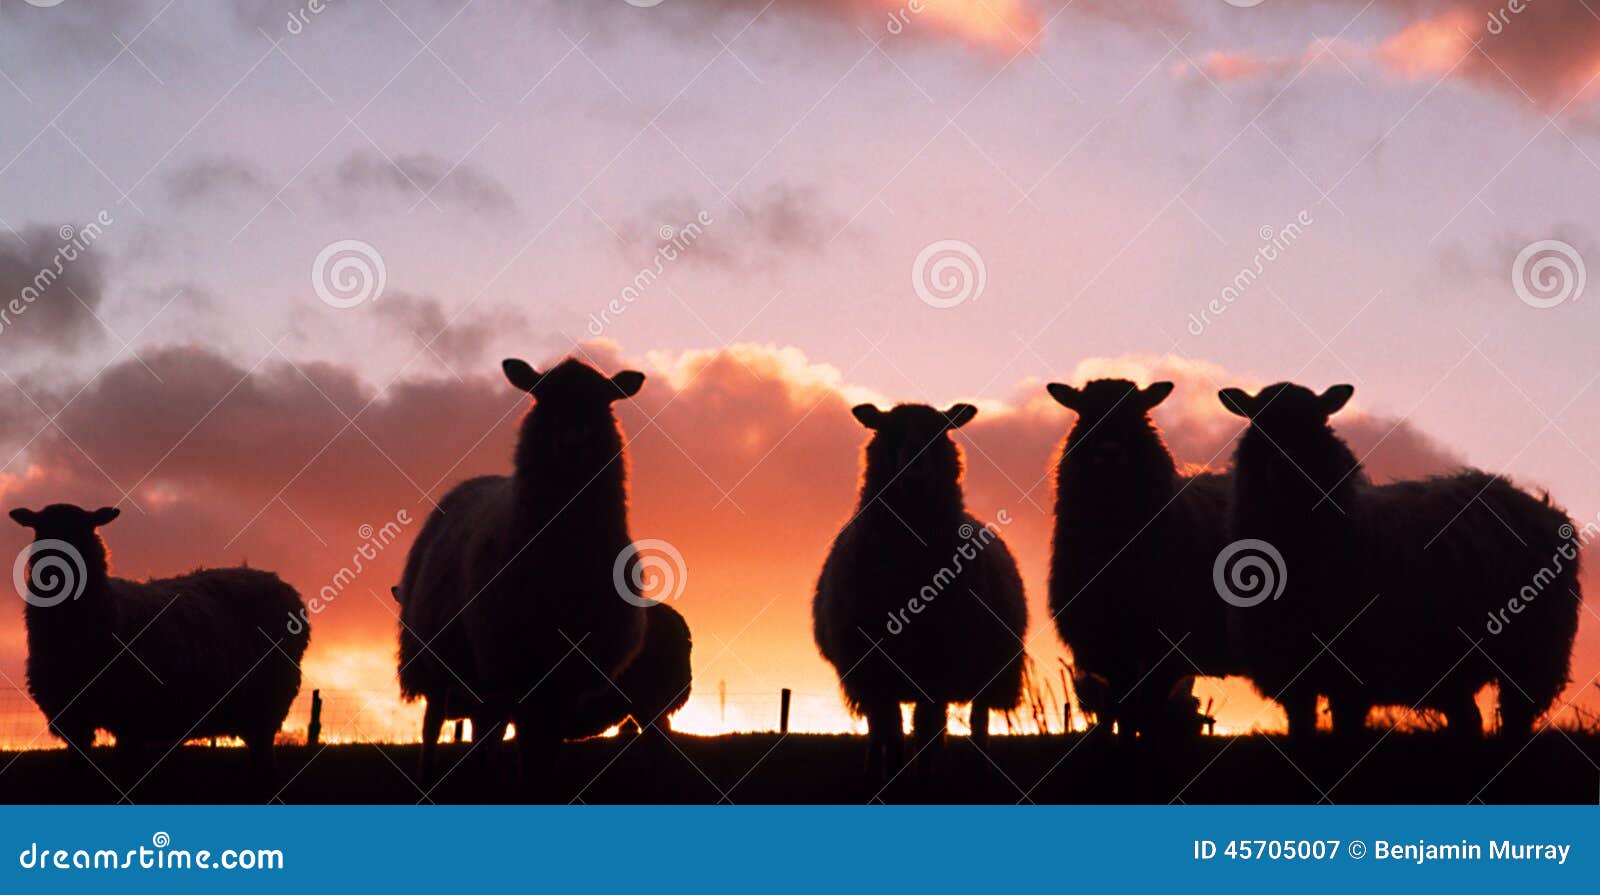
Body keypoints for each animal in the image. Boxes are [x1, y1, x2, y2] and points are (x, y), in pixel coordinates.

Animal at [9, 503, 307, 784]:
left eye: (85, 528)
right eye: (39, 529)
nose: (55, 566)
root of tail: (278, 582)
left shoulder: (130, 717)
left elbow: (126, 772)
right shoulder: (72, 718)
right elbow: (77, 770)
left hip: (269, 702)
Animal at [397, 358, 650, 787]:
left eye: (604, 400)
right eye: (542, 396)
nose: (573, 441)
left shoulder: (568, 674)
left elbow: (545, 752)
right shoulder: (512, 664)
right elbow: (521, 745)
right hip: (444, 660)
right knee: (438, 724)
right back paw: (434, 777)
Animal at [813, 403, 1027, 780]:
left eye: (938, 431)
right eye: (890, 430)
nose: (914, 466)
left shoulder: (937, 662)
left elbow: (926, 726)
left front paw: (921, 775)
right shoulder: (873, 668)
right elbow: (891, 729)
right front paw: (890, 771)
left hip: (991, 669)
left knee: (977, 721)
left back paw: (974, 768)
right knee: (887, 728)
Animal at [1046, 379, 1242, 741]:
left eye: (1136, 414)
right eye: (1085, 413)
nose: (1109, 451)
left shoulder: (1164, 645)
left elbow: (1147, 715)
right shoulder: (1111, 644)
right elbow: (1124, 715)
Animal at [1219, 382, 1581, 738]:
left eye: (1318, 421)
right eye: (1258, 421)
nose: (1285, 467)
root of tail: (1539, 505)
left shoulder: (1352, 673)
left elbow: (1346, 730)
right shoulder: (1291, 671)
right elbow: (1301, 729)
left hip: (1531, 652)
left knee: (1516, 719)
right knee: (1469, 721)